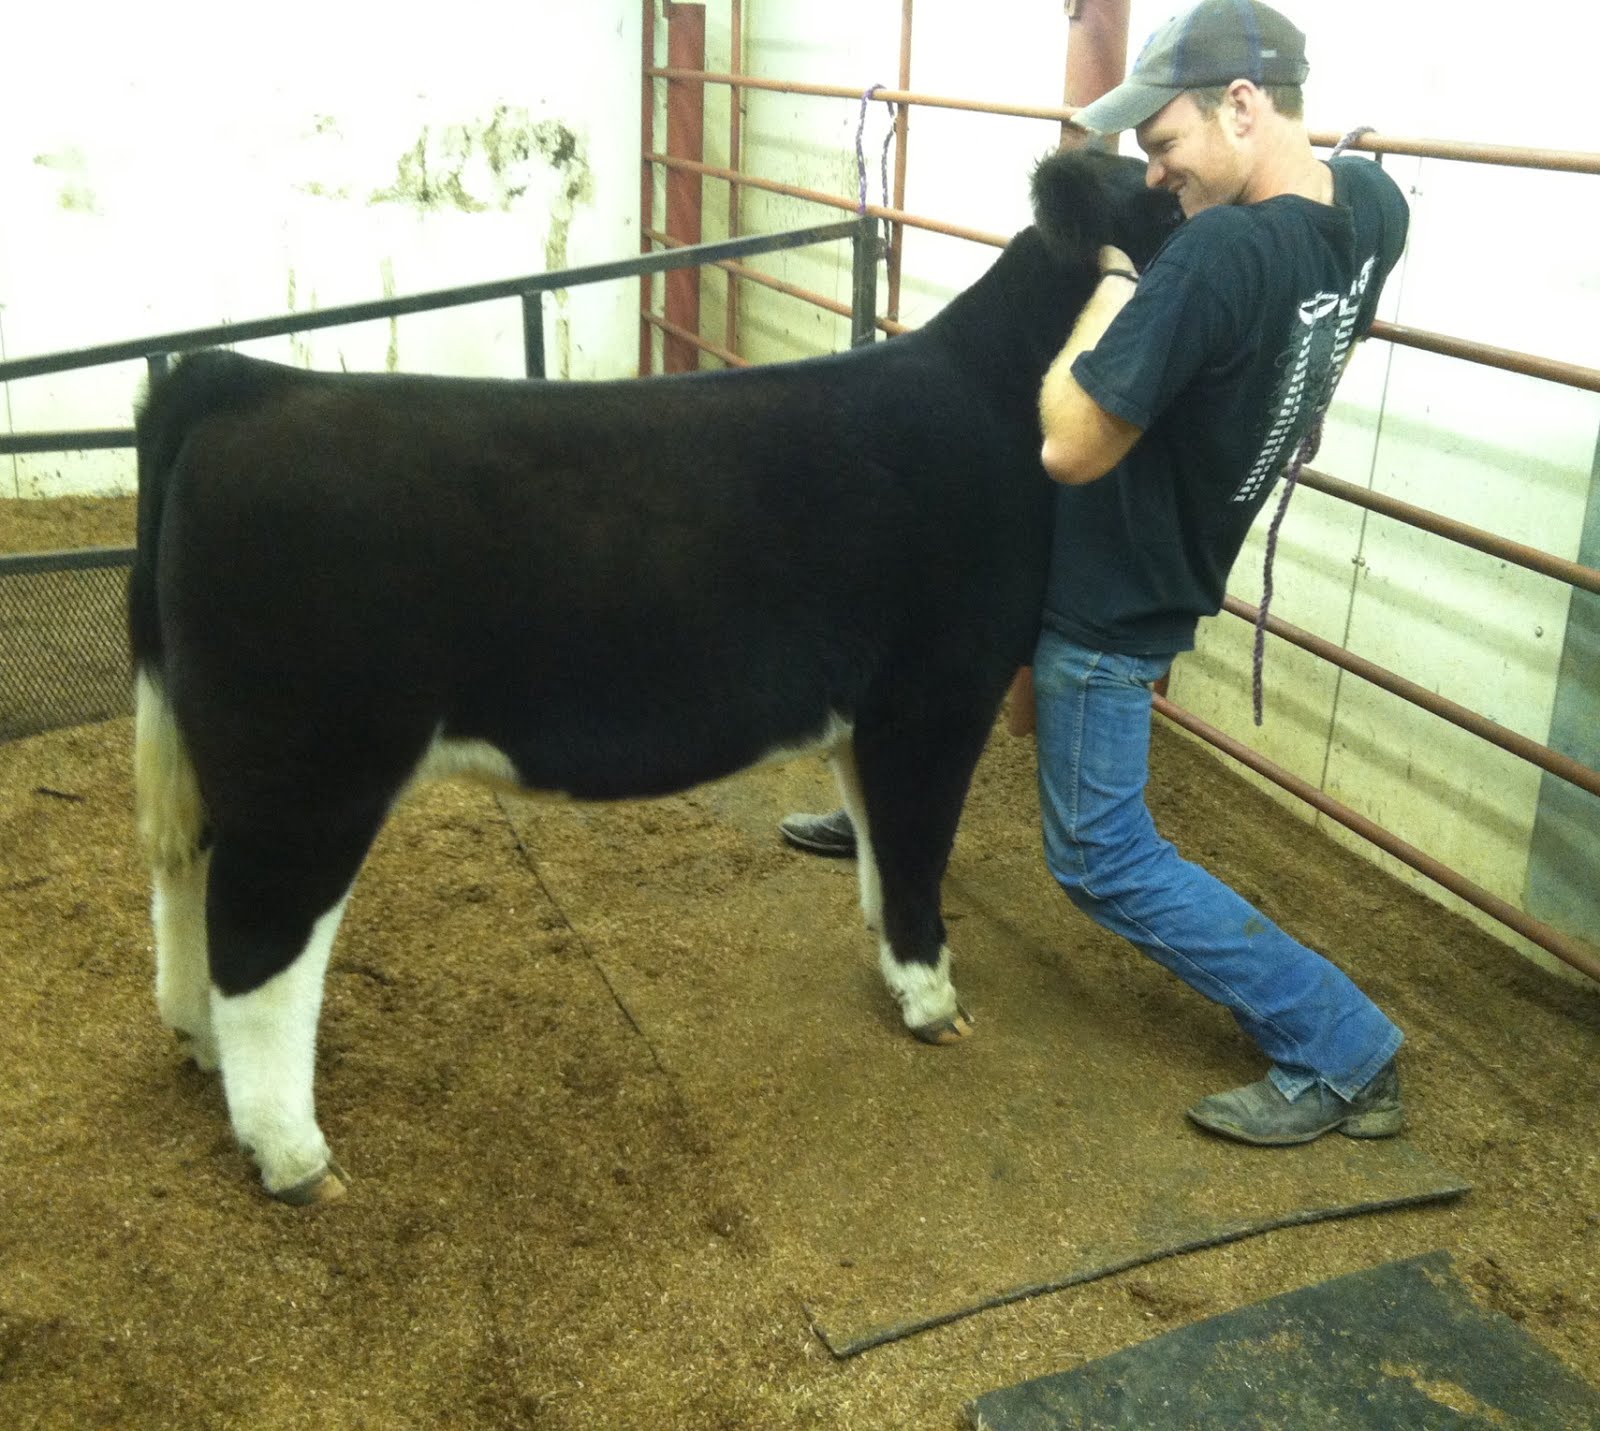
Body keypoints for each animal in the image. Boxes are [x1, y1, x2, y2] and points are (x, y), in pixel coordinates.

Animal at [128, 148, 1181, 1203]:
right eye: (1171, 203)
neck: (996, 395)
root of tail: (239, 379)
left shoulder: (865, 713)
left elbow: (881, 851)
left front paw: (893, 962)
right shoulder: (936, 695)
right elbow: (918, 848)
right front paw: (932, 997)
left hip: (219, 756)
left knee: (184, 884)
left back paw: (198, 1044)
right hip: (311, 771)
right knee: (257, 942)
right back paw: (295, 1156)